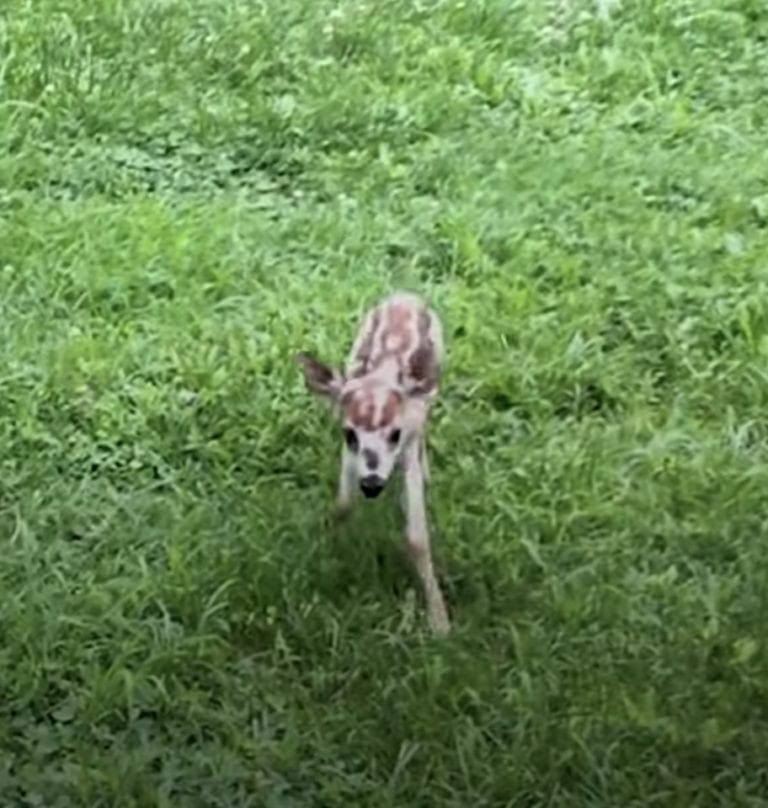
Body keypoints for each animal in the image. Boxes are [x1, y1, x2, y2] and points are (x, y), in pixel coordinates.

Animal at [296, 291, 450, 635]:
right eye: (349, 433)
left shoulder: (407, 443)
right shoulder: (349, 451)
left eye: (394, 433)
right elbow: (342, 505)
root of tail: (406, 294)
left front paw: (440, 620)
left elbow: (417, 537)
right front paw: (327, 552)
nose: (371, 484)